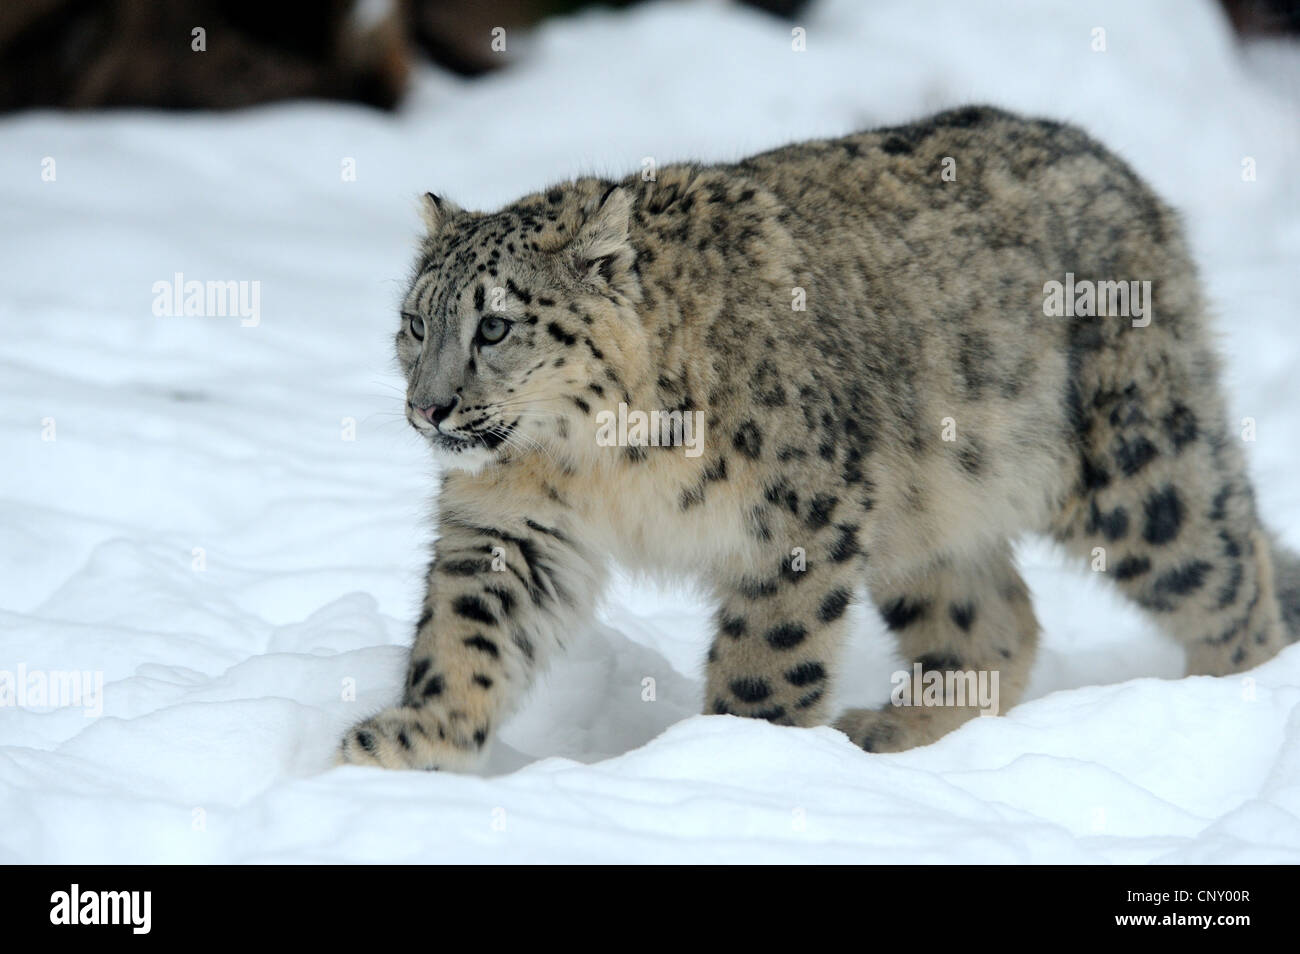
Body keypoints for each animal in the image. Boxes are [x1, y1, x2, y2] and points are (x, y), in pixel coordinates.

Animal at [337, 104, 1300, 771]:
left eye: (495, 326)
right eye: (415, 322)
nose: (429, 409)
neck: (590, 463)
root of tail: (1123, 173)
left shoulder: (795, 516)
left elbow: (770, 654)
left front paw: (729, 757)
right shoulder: (510, 522)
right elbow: (466, 633)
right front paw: (406, 745)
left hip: (1138, 467)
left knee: (1229, 571)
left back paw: (1228, 706)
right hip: (930, 511)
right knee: (994, 621)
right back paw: (895, 733)